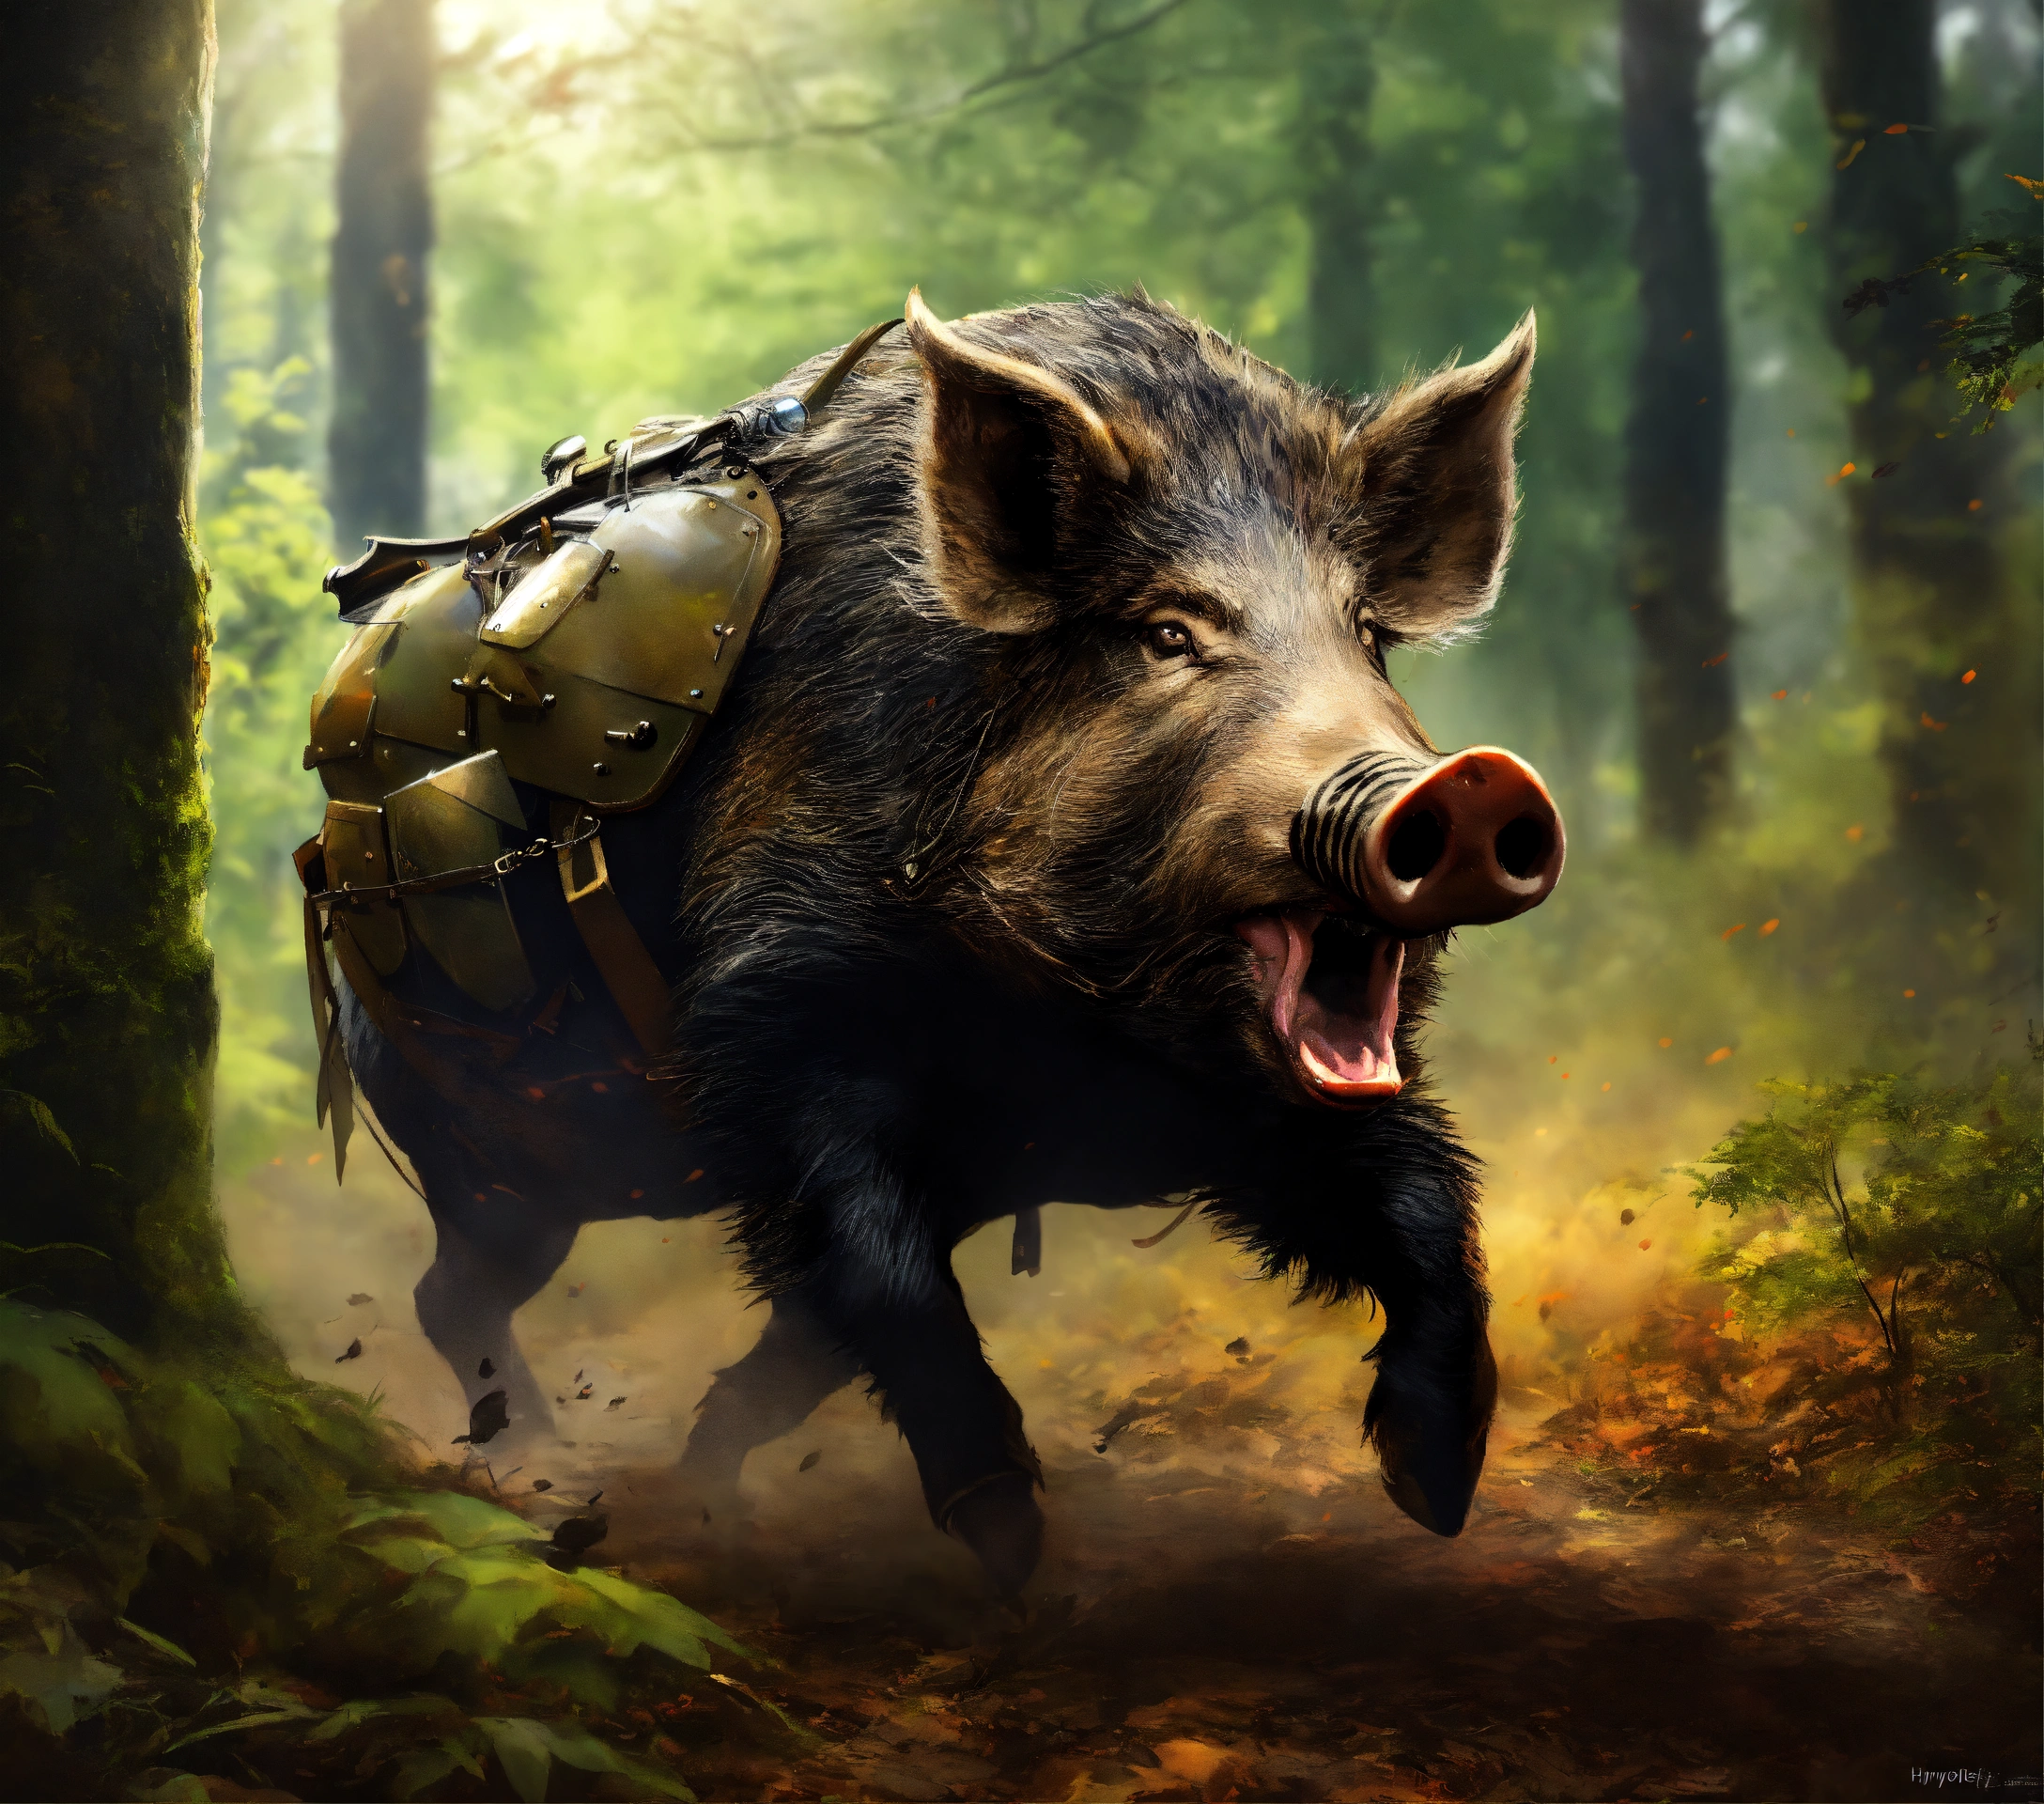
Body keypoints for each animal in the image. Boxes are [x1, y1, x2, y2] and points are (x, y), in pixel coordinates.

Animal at [340, 289, 1564, 1597]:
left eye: (1367, 634)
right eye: (1168, 633)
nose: (1474, 781)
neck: (1071, 1028)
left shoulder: (1231, 1112)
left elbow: (1425, 1199)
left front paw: (1436, 1487)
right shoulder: (777, 1002)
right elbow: (878, 1262)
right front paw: (1009, 1541)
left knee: (752, 1342)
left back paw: (691, 1484)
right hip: (484, 1142)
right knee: (453, 1292)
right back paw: (538, 1454)